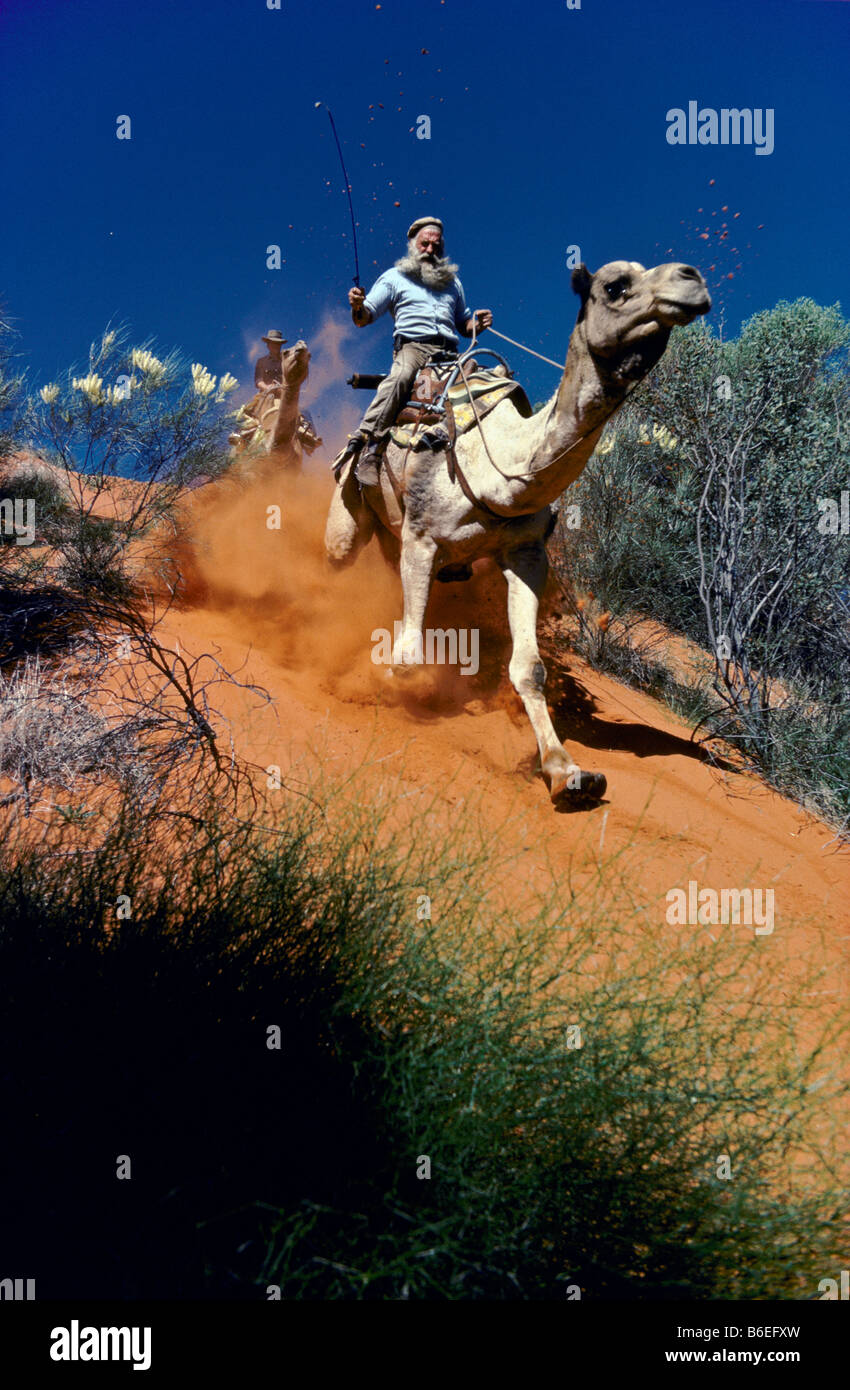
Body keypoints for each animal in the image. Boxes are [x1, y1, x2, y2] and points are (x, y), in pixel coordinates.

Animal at [324, 260, 711, 805]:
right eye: (615, 286)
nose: (691, 279)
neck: (501, 468)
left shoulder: (525, 553)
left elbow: (528, 668)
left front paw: (568, 773)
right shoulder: (421, 537)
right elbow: (408, 656)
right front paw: (379, 689)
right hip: (348, 510)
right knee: (336, 562)